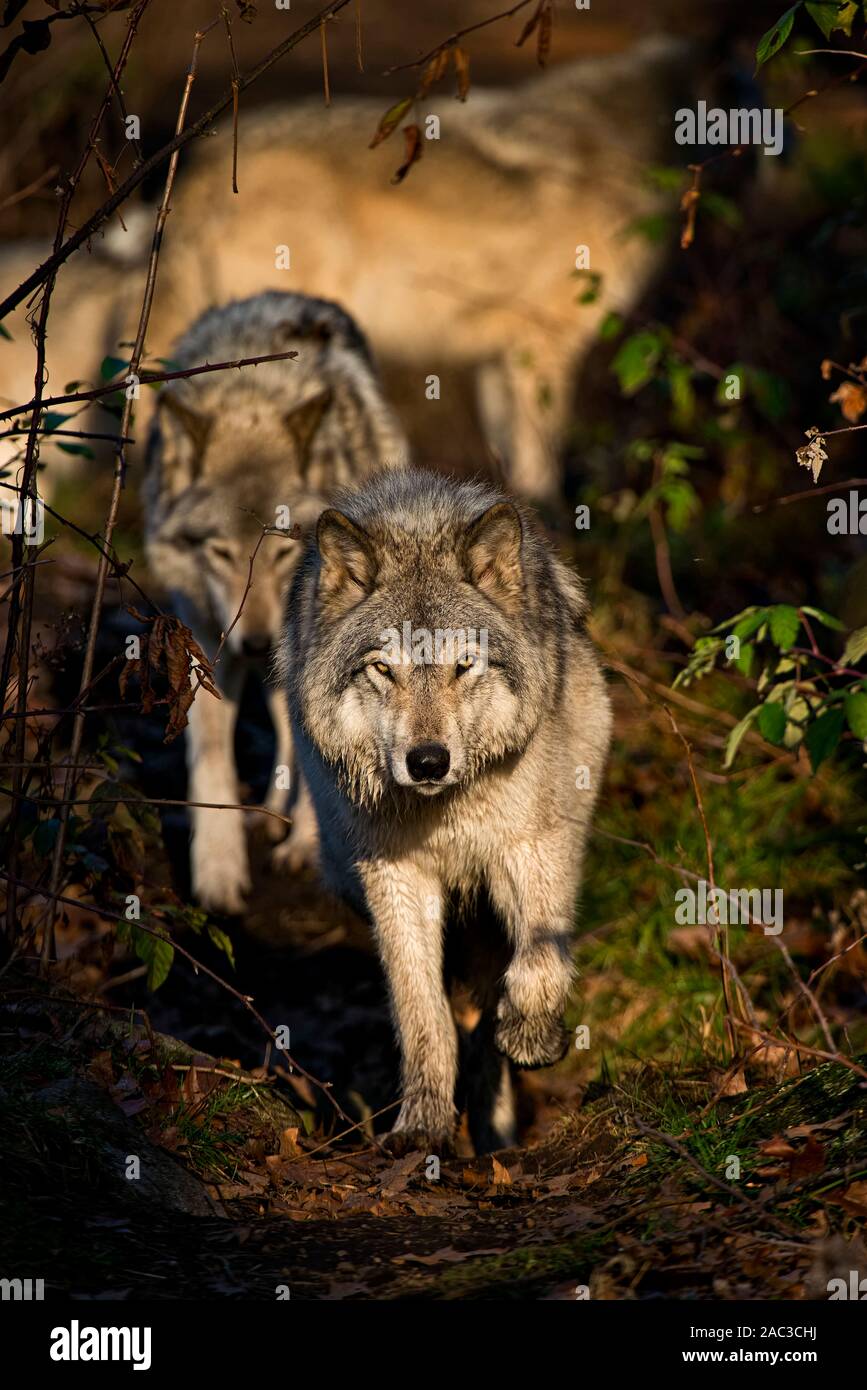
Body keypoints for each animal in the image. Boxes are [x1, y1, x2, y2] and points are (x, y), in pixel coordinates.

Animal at [143, 290, 408, 914]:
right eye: (219, 551)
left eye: (285, 551)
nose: (259, 641)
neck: (251, 393)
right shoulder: (205, 643)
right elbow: (211, 760)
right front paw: (218, 872)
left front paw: (306, 844)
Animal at [280, 468, 611, 1152]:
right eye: (384, 669)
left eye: (464, 666)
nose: (428, 761)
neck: (446, 814)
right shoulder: (395, 879)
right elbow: (421, 1014)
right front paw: (423, 1126)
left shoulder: (536, 846)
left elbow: (539, 961)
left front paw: (531, 1036)